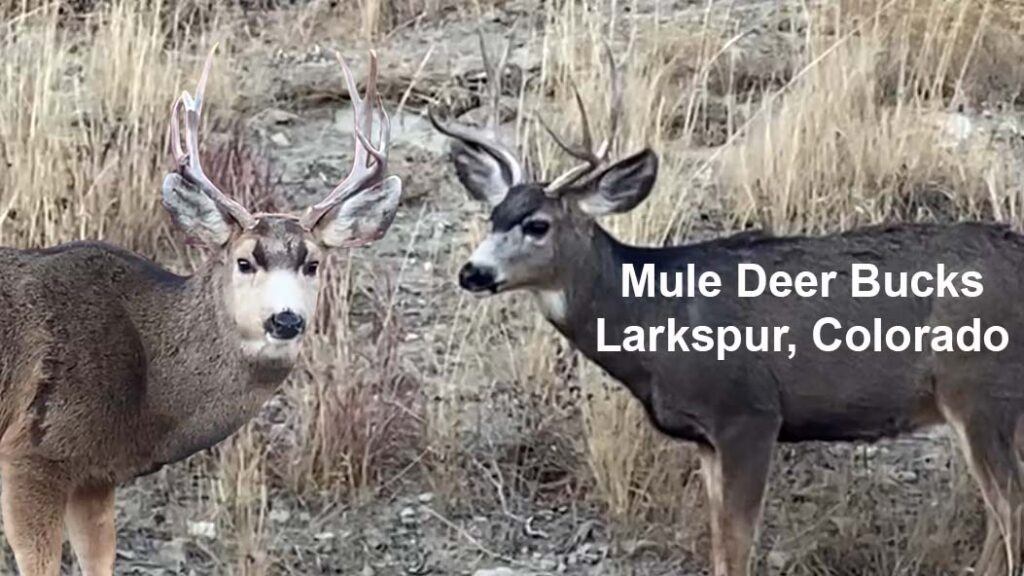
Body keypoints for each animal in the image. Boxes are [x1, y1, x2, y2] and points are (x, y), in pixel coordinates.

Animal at [0, 48, 401, 576]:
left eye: (312, 263)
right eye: (245, 260)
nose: (286, 319)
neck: (148, 385)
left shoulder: (96, 475)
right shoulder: (33, 452)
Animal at [431, 41, 1024, 576]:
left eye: (538, 225)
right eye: (492, 217)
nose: (471, 272)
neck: (655, 317)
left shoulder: (749, 412)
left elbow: (737, 546)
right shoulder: (706, 439)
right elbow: (721, 544)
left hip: (978, 388)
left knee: (1010, 509)